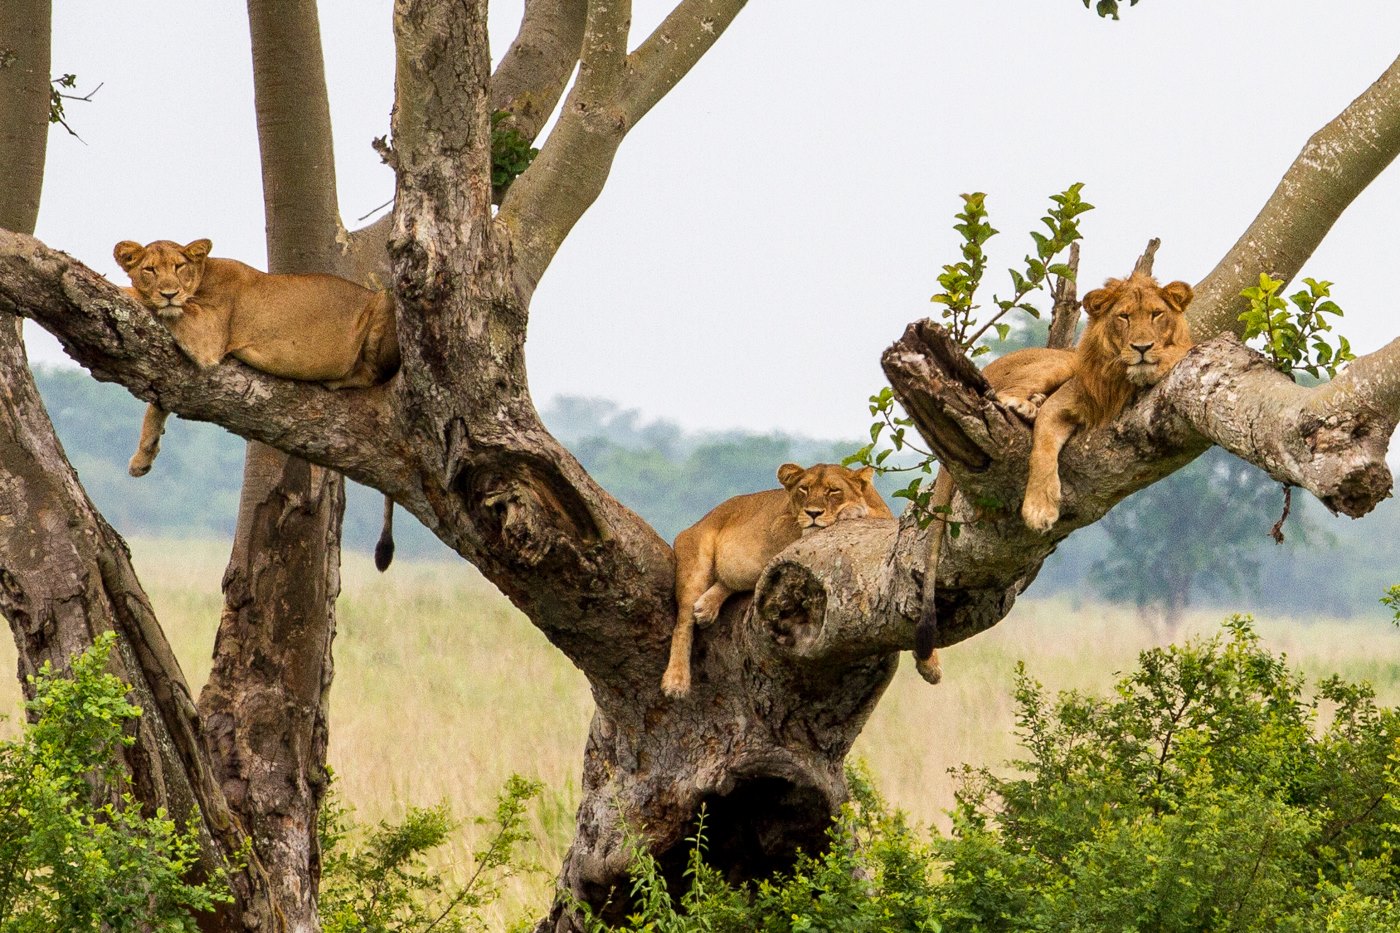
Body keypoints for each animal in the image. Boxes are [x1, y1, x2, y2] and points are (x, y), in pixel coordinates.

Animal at [114, 237, 402, 569]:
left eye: (179, 266)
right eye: (149, 269)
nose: (169, 292)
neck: (203, 276)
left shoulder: (207, 334)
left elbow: (153, 304)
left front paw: (120, 286)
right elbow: (158, 404)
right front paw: (142, 458)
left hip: (384, 301)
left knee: (375, 374)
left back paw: (338, 379)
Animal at [661, 462, 894, 698]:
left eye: (833, 490)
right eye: (804, 489)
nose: (813, 513)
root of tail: (700, 521)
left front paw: (850, 509)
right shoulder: (780, 526)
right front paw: (849, 510)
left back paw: (706, 608)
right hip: (695, 560)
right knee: (683, 623)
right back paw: (676, 681)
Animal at [912, 272, 1193, 683]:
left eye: (1157, 315)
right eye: (1124, 317)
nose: (1142, 348)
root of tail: (990, 367)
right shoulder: (1068, 399)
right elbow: (1043, 448)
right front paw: (1040, 508)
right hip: (1055, 364)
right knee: (1003, 397)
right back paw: (1023, 404)